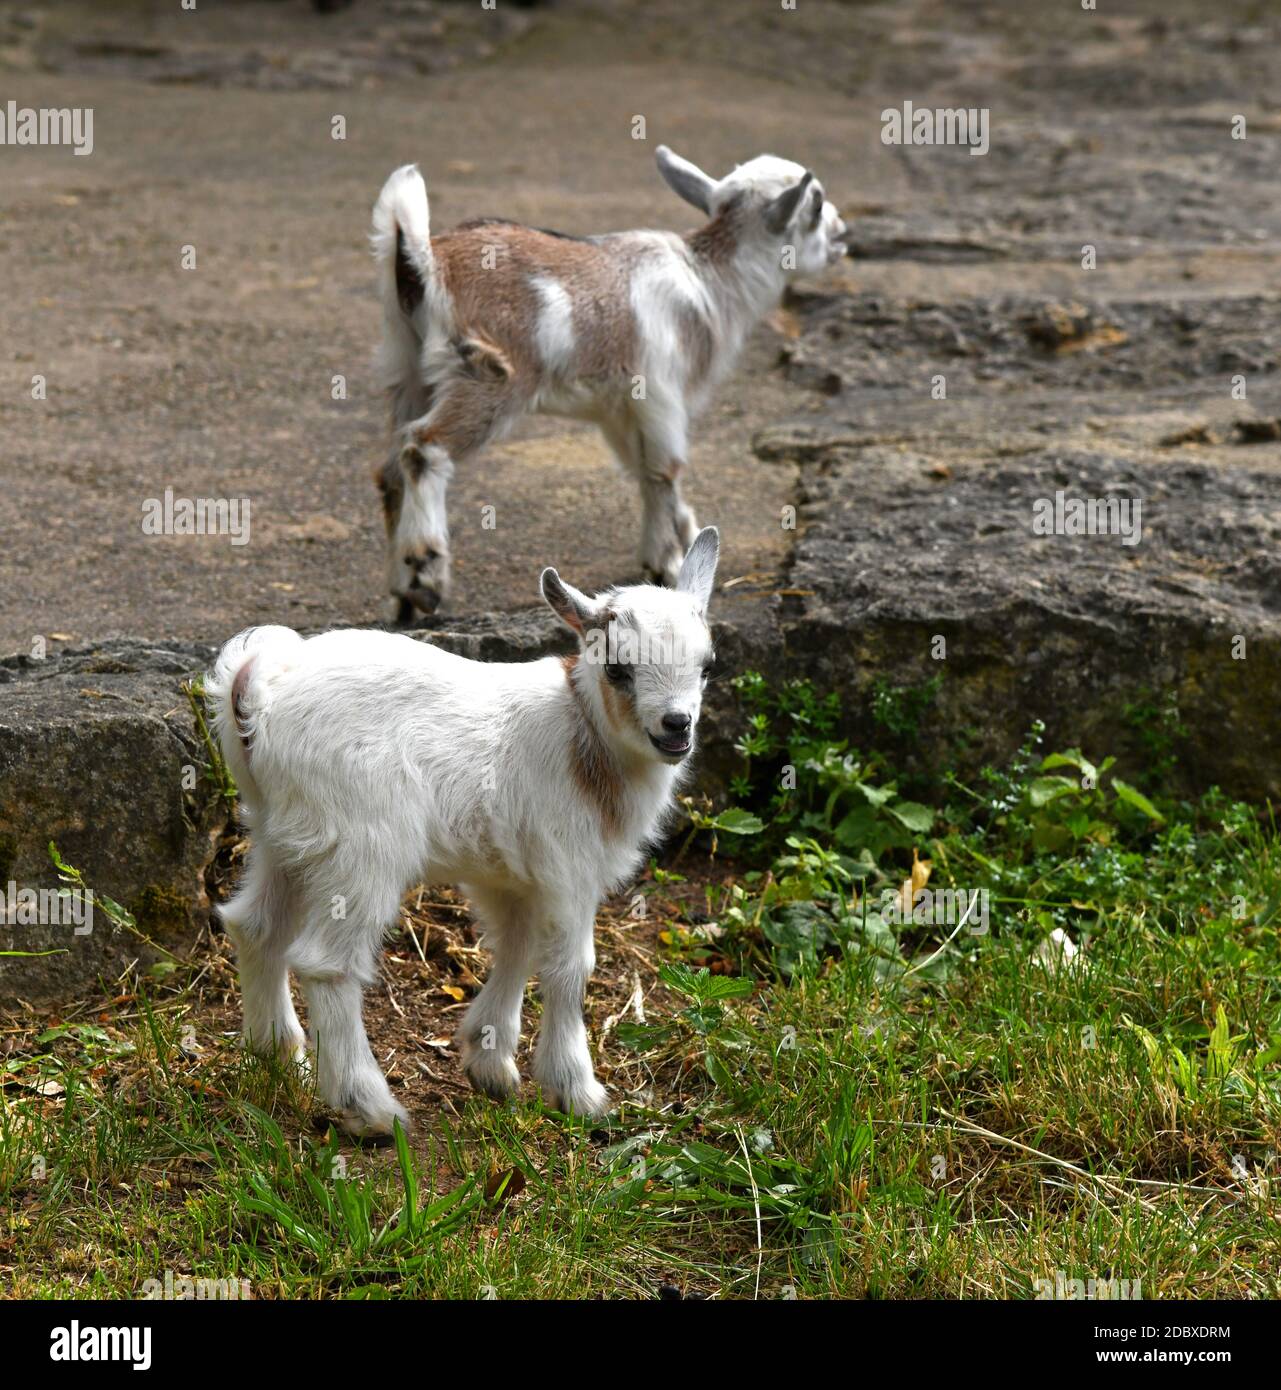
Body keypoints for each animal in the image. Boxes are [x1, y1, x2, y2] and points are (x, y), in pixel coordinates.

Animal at [207, 527, 721, 1135]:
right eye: (618, 668)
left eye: (707, 665)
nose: (677, 726)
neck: (585, 736)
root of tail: (262, 690)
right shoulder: (569, 864)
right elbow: (571, 968)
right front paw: (578, 1093)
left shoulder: (512, 874)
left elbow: (517, 946)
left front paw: (489, 1064)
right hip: (361, 845)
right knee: (326, 962)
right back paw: (369, 1109)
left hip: (280, 831)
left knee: (255, 925)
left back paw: (277, 1056)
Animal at [371, 147, 846, 623]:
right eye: (816, 205)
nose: (843, 234)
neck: (709, 282)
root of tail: (424, 261)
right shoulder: (661, 391)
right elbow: (663, 468)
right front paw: (665, 562)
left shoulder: (618, 408)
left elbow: (640, 467)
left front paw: (686, 531)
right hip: (492, 377)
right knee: (424, 447)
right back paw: (425, 578)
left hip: (408, 370)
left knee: (390, 469)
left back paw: (401, 592)